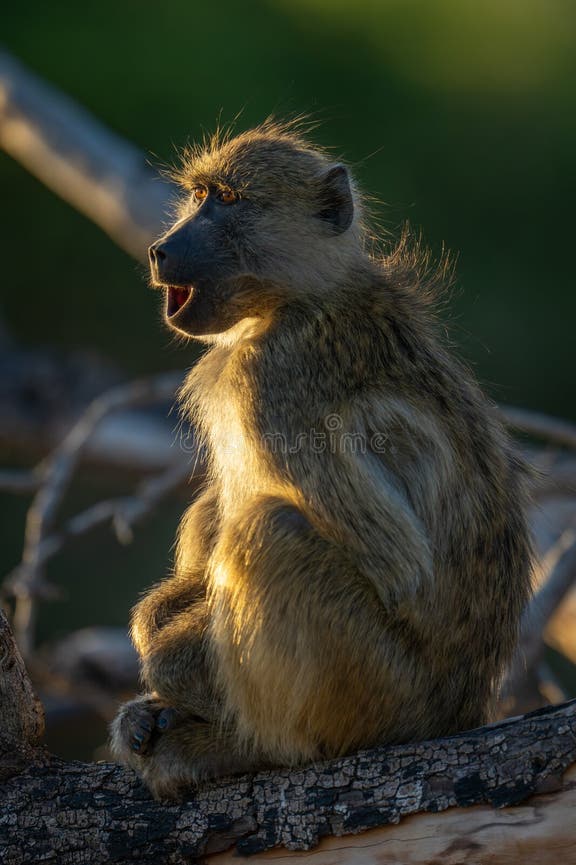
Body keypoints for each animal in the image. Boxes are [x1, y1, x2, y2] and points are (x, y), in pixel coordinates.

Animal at [110, 120, 533, 799]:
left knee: (272, 531)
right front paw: (156, 628)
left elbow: (399, 570)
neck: (299, 299)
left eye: (227, 200)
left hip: (385, 691)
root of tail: (462, 709)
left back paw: (239, 746)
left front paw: (168, 663)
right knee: (218, 507)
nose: (160, 251)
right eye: (198, 195)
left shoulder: (274, 381)